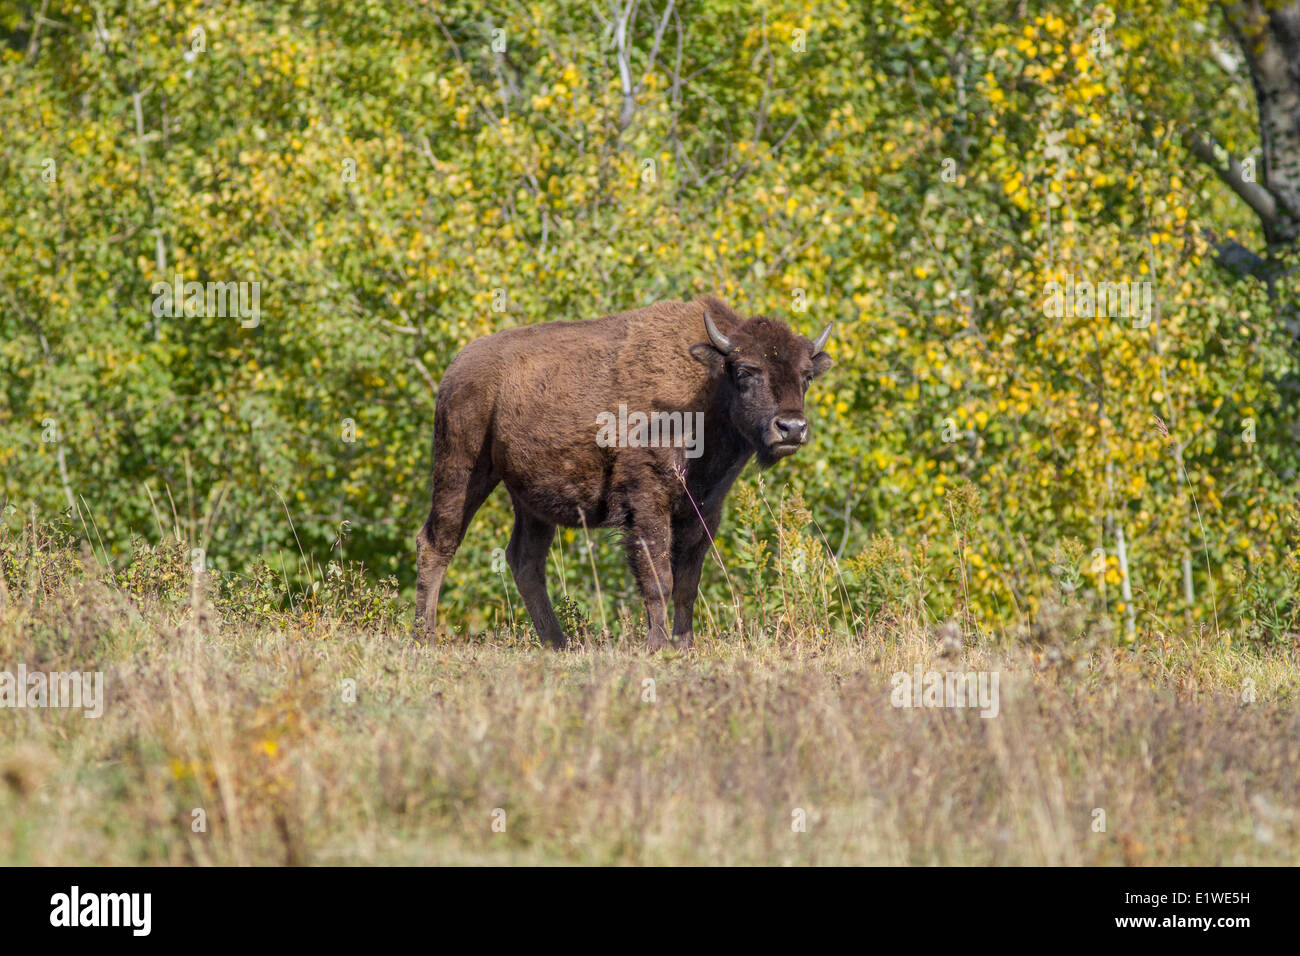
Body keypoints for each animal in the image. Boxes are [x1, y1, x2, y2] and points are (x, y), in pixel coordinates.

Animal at [415, 295, 833, 650]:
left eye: (806, 375)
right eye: (746, 371)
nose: (791, 428)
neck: (706, 390)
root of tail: (456, 369)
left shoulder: (703, 513)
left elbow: (687, 584)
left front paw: (685, 646)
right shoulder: (646, 503)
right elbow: (659, 579)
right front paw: (656, 646)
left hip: (530, 503)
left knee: (525, 561)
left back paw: (558, 643)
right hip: (463, 470)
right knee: (437, 543)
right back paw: (425, 638)